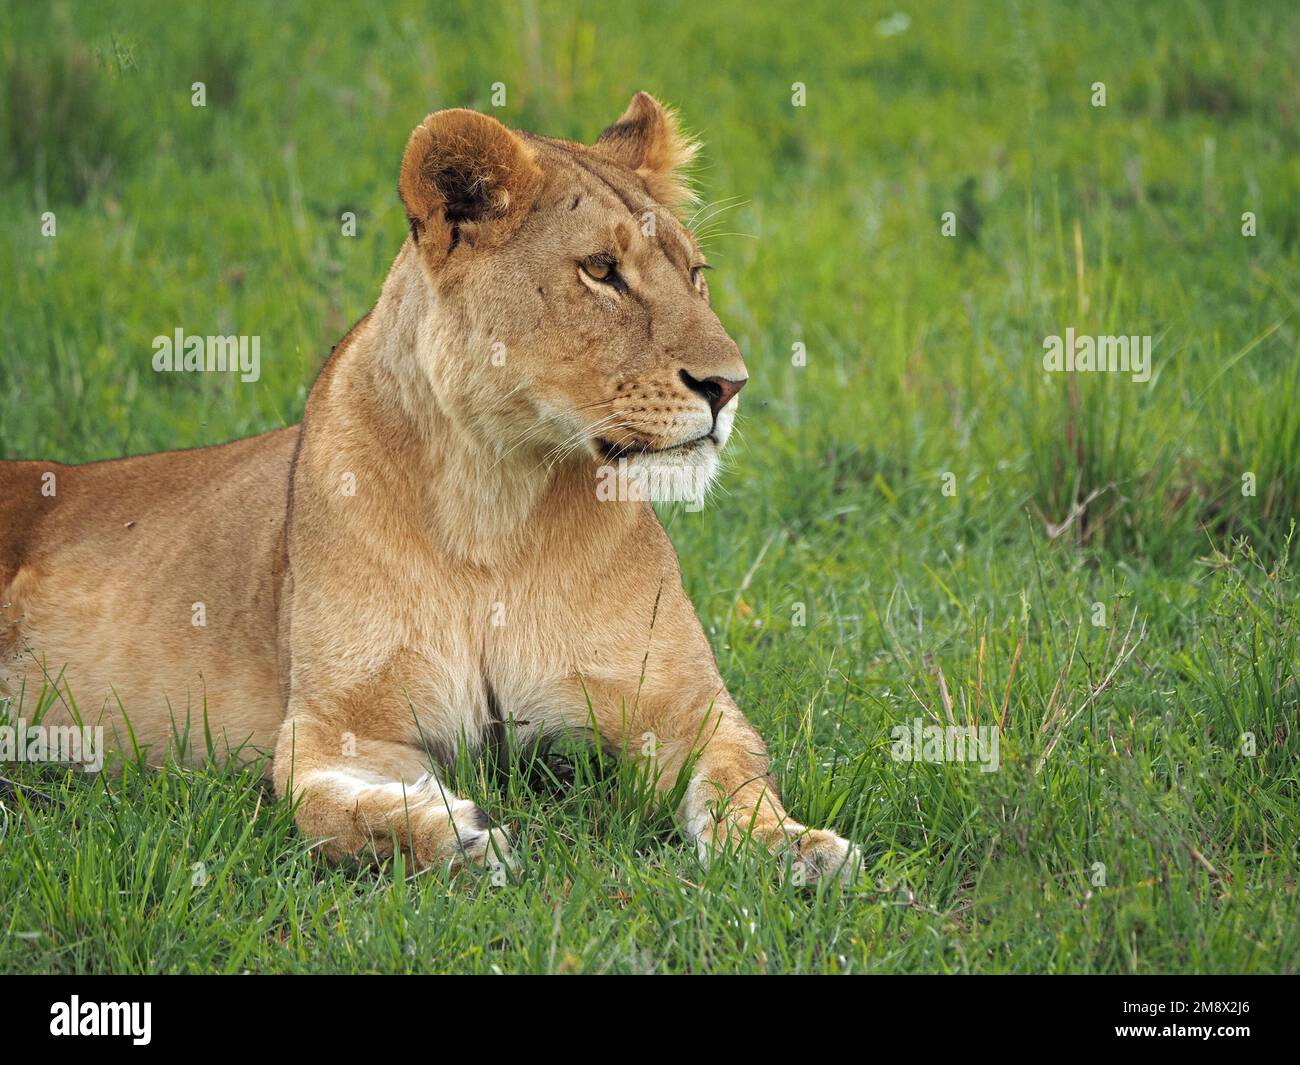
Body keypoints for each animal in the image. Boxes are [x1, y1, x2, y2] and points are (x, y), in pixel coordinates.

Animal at [0, 93, 863, 882]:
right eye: (601, 271)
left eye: (695, 274)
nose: (730, 385)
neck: (497, 499)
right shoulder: (337, 723)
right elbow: (318, 804)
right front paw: (455, 836)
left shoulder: (684, 705)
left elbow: (737, 776)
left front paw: (792, 847)